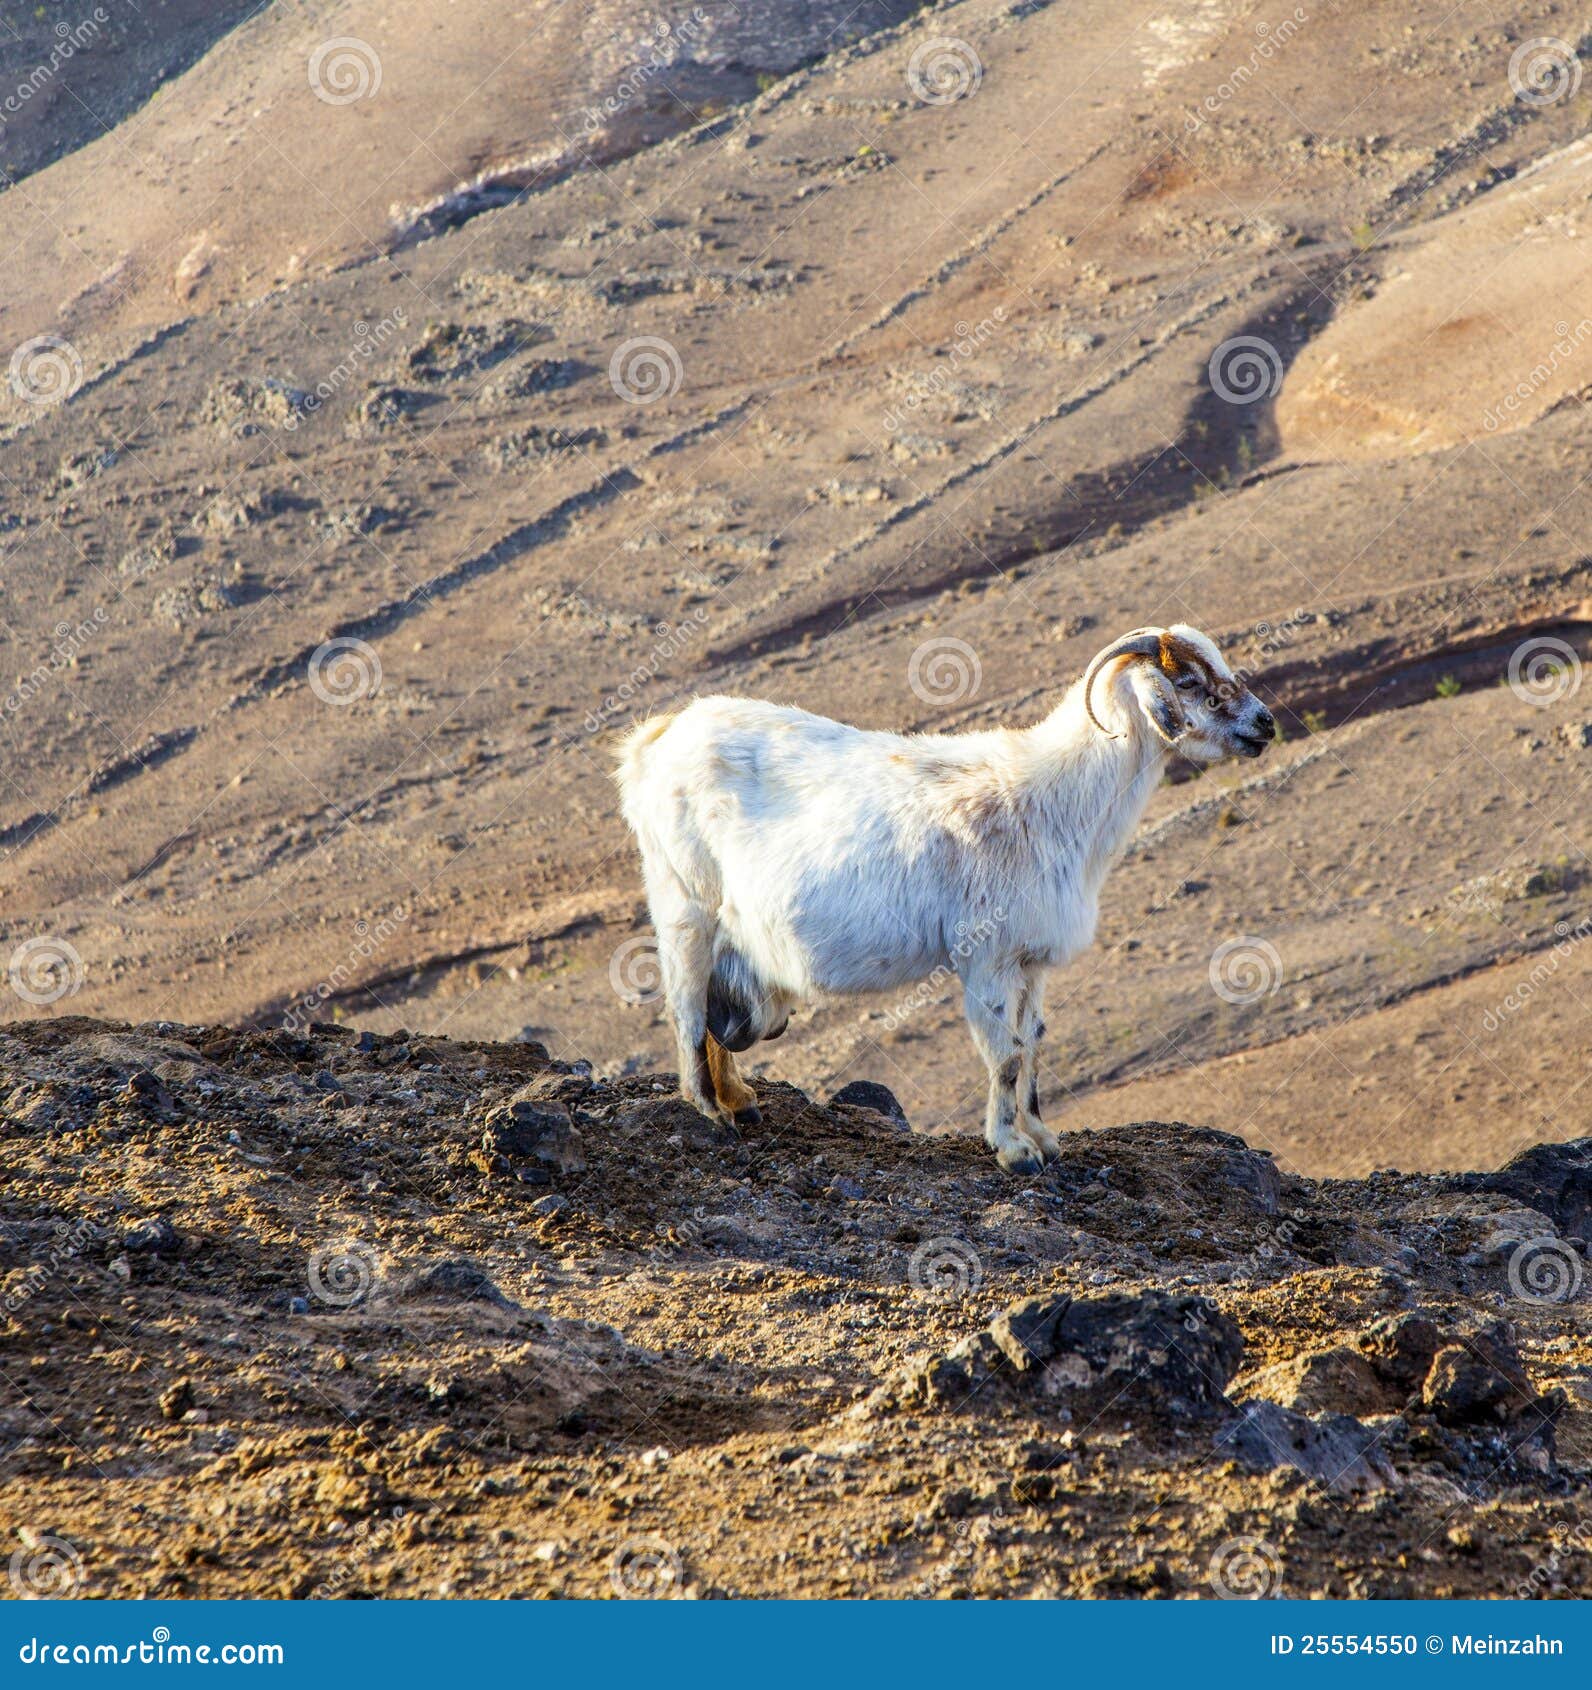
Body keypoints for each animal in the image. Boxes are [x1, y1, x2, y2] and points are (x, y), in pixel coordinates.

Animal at [616, 623, 1275, 1172]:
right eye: (1187, 680)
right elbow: (1005, 1055)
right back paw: (712, 1111)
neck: (1056, 799)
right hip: (683, 901)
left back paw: (741, 1100)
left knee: (711, 1013)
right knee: (687, 1005)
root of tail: (654, 739)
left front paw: (1042, 1138)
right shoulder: (986, 956)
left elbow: (1033, 1046)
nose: (1266, 724)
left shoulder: (1031, 961)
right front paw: (1013, 1152)